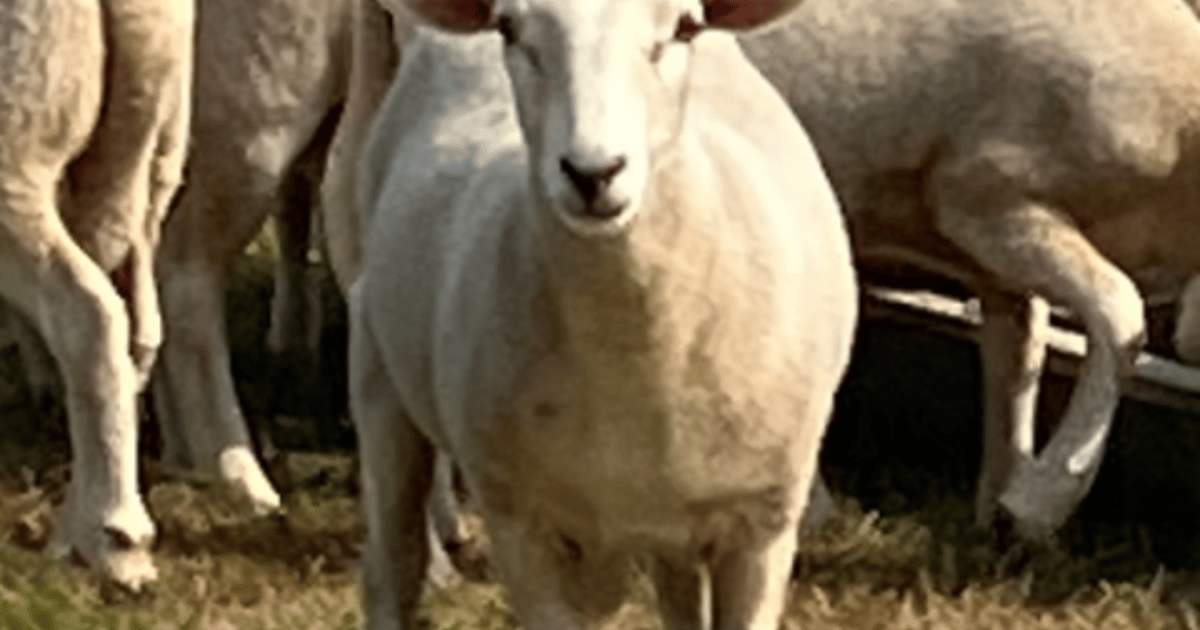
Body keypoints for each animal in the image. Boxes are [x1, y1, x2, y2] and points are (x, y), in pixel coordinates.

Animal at [349, 1, 858, 628]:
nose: (593, 172)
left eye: (685, 26)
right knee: (393, 565)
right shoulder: (525, 526)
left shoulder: (761, 523)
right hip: (379, 374)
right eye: (508, 28)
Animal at [738, 0, 1200, 540]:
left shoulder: (1000, 264)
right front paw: (1042, 500)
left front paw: (999, 517)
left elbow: (1017, 367)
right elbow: (1119, 309)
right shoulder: (985, 196)